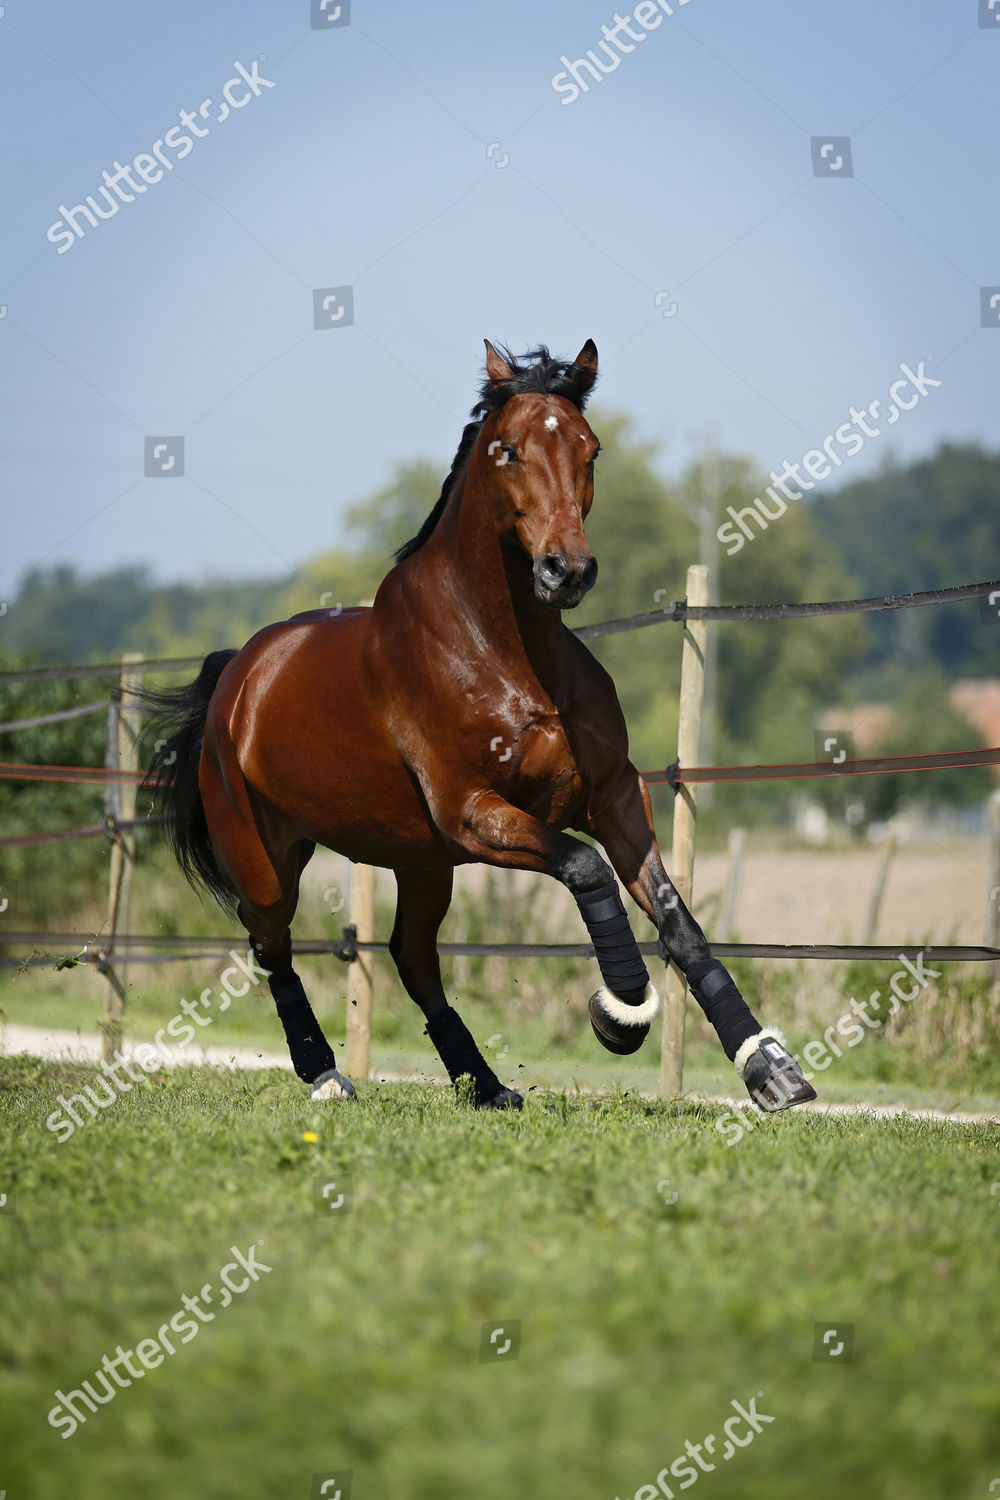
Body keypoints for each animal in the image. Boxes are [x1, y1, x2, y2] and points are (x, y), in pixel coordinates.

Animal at [145, 339, 815, 1114]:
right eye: (507, 450)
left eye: (591, 448)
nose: (566, 571)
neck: (508, 654)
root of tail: (238, 675)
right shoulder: (474, 813)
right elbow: (586, 867)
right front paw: (619, 1013)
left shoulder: (614, 797)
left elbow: (678, 920)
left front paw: (770, 1067)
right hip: (268, 861)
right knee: (273, 949)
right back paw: (328, 1076)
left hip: (419, 862)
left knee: (412, 960)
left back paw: (487, 1086)